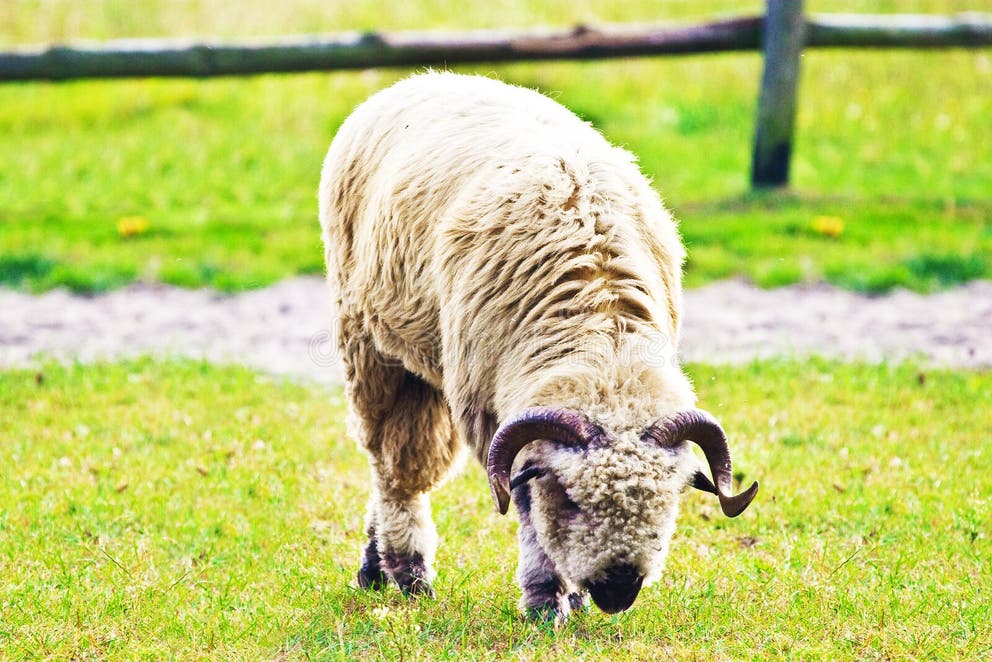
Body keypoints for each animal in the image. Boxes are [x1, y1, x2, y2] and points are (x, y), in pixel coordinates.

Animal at [318, 71, 758, 620]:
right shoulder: (491, 412)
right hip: (372, 347)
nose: (618, 592)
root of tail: (422, 79)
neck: (600, 332)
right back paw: (406, 571)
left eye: (666, 503)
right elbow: (526, 509)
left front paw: (569, 597)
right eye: (570, 498)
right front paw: (546, 600)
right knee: (392, 467)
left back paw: (376, 568)